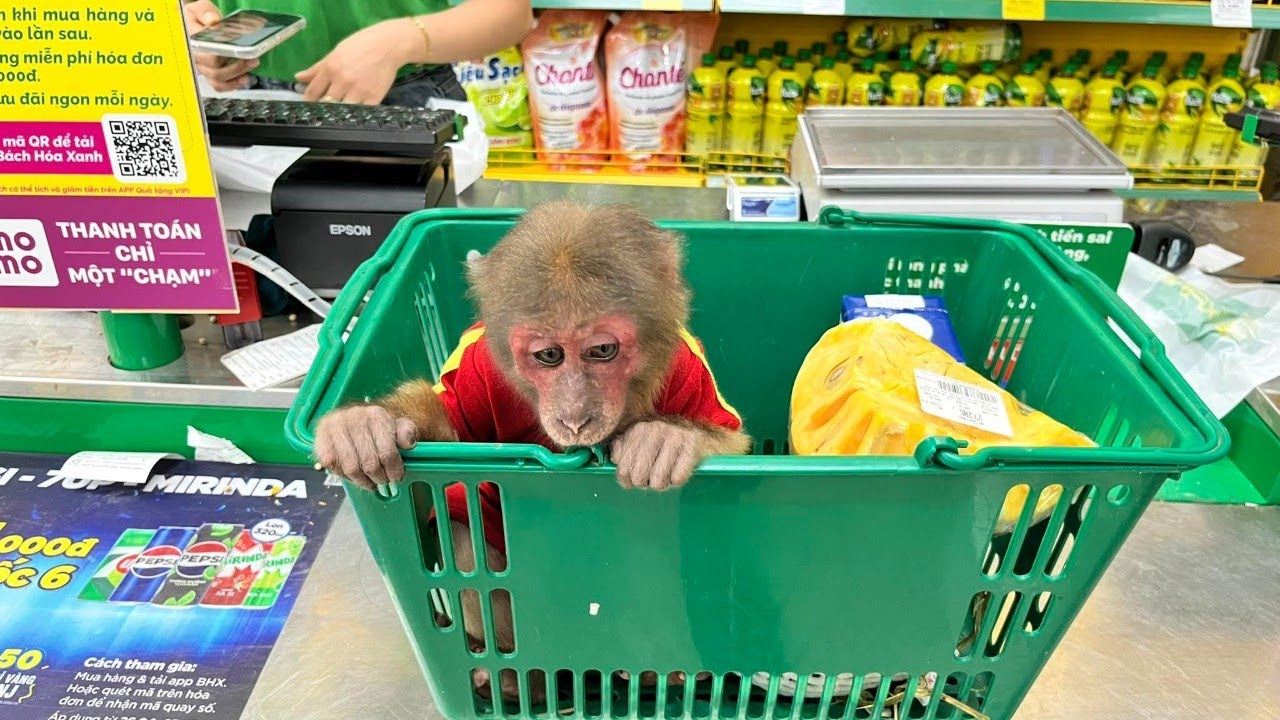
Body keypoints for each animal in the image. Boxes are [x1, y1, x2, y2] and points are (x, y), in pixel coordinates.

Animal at [313, 201, 751, 701]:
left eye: (603, 349)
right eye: (548, 356)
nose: (575, 416)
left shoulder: (686, 368)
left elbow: (737, 449)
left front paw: (667, 439)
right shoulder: (477, 365)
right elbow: (447, 430)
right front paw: (364, 425)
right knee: (463, 530)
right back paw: (517, 678)